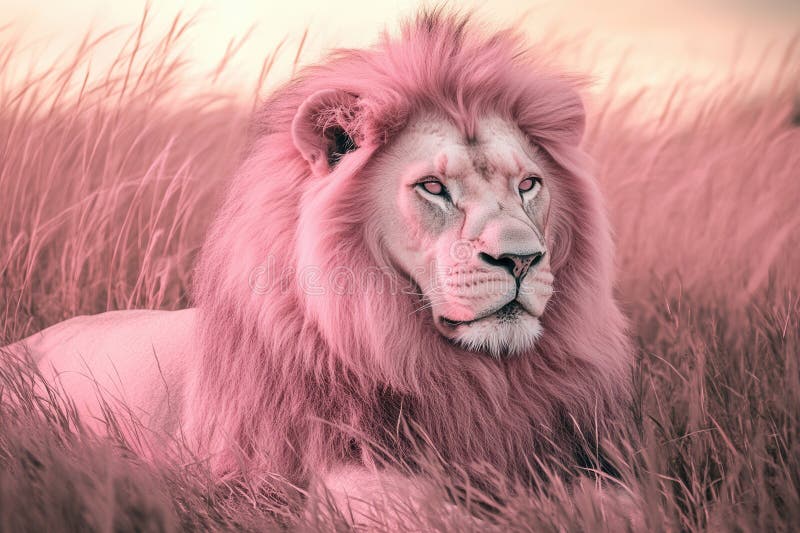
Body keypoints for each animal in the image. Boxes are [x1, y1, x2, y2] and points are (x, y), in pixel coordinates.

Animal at [5, 10, 633, 520]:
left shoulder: (570, 454)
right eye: (433, 187)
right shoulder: (297, 471)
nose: (522, 259)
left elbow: (617, 501)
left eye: (528, 184)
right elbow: (424, 510)